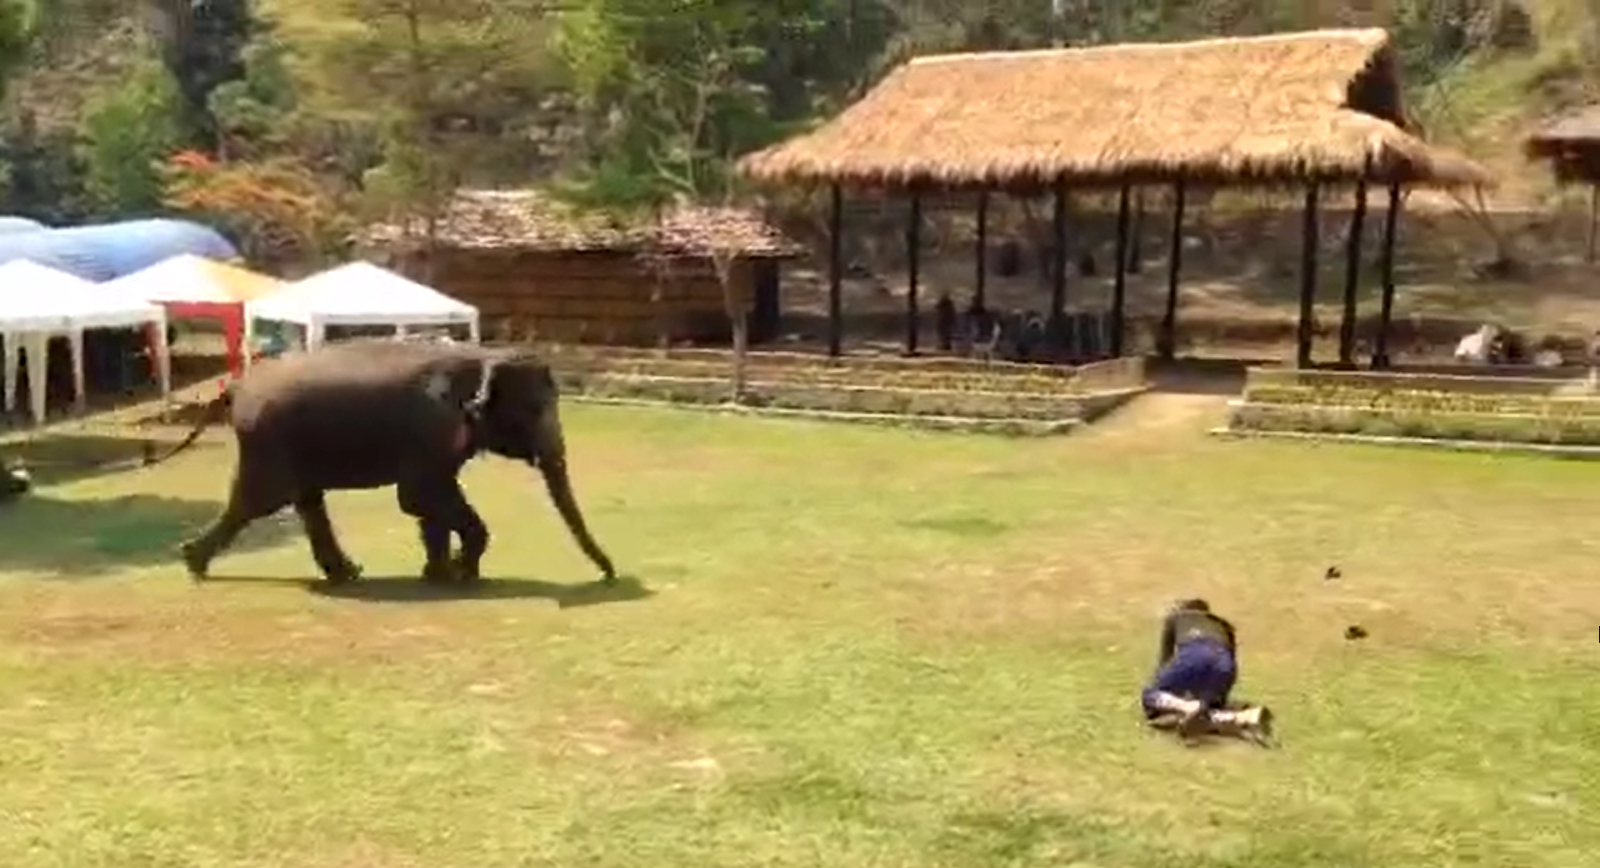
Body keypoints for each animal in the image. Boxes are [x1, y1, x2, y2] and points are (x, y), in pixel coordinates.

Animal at [144, 339, 616, 585]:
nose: (609, 575)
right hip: (268, 440)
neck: (483, 356)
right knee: (258, 502)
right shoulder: (430, 428)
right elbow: (419, 496)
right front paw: (462, 574)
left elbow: (431, 500)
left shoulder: (442, 441)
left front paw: (439, 574)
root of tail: (235, 386)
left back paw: (346, 573)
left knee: (305, 500)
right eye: (535, 410)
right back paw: (194, 564)